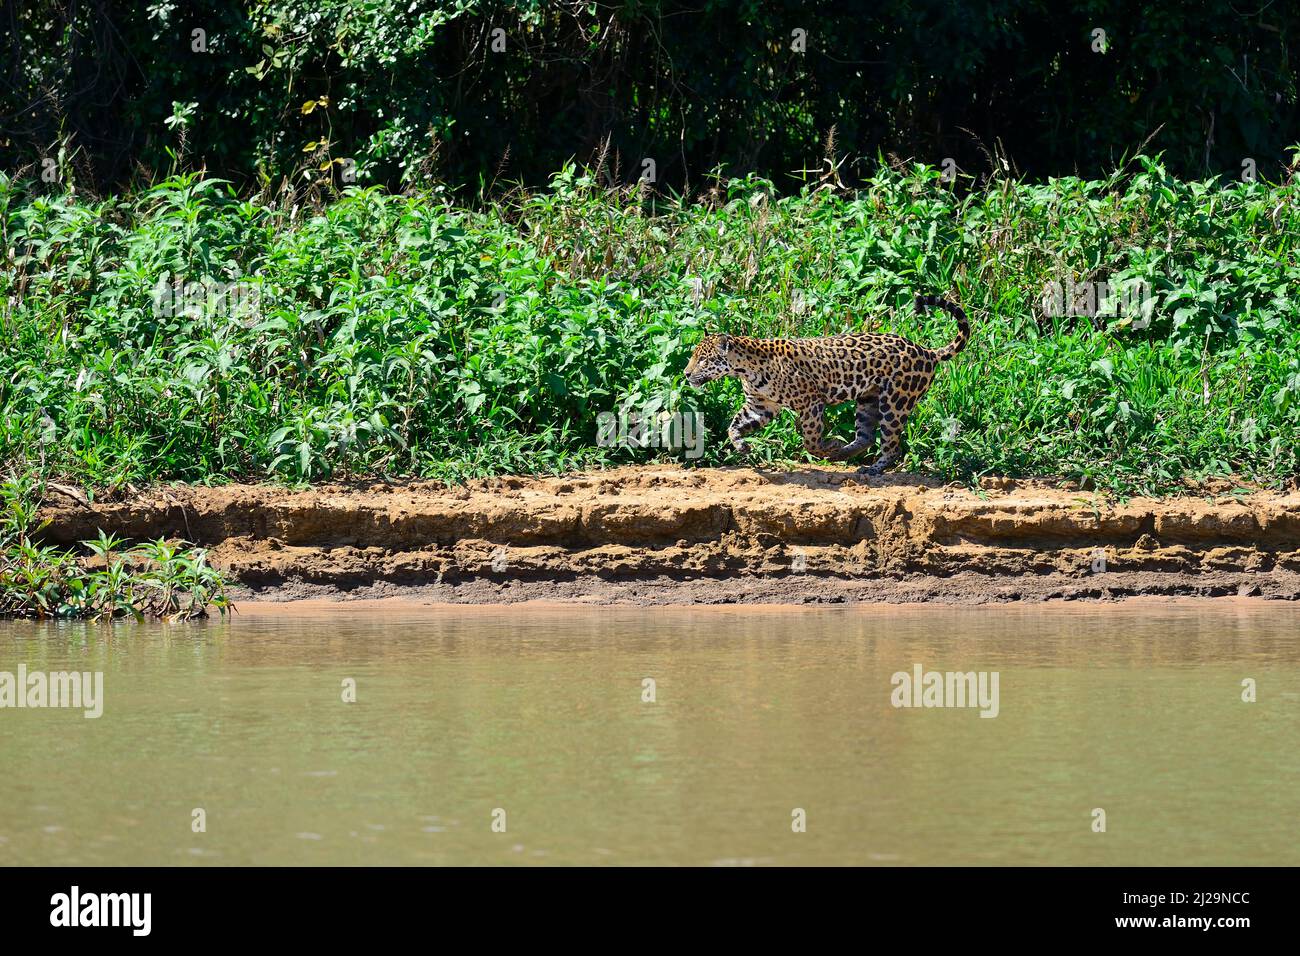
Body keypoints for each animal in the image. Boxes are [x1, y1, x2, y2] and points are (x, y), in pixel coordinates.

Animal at [683, 295, 969, 475]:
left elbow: (810, 440)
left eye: (703, 360)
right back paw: (841, 453)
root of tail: (927, 352)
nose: (686, 374)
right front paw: (742, 445)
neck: (745, 368)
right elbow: (734, 425)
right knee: (866, 436)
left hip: (896, 402)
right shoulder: (760, 405)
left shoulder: (811, 402)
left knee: (892, 445)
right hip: (868, 398)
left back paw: (872, 468)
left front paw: (824, 446)